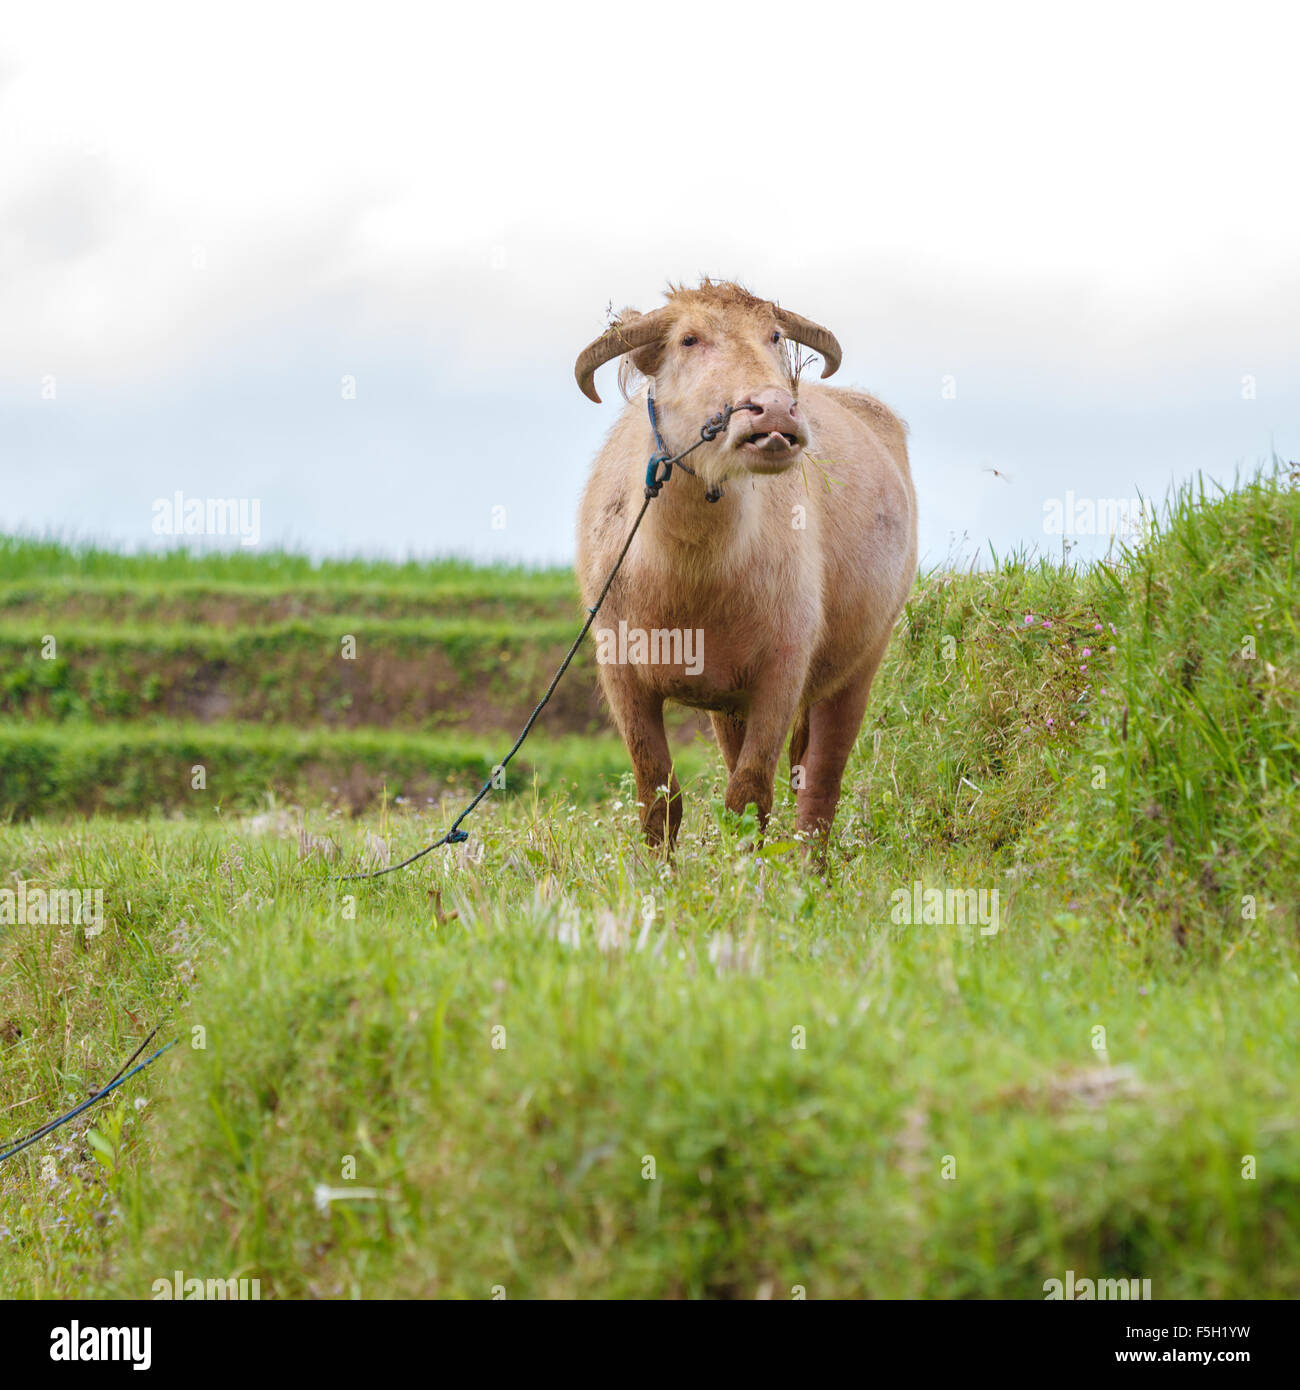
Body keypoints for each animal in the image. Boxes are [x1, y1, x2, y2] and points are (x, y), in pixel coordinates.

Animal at [574, 280, 917, 852]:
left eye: (774, 335)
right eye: (688, 339)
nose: (774, 412)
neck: (692, 573)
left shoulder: (782, 673)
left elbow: (749, 797)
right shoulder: (622, 673)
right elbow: (658, 798)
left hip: (859, 666)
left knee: (819, 789)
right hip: (729, 708)